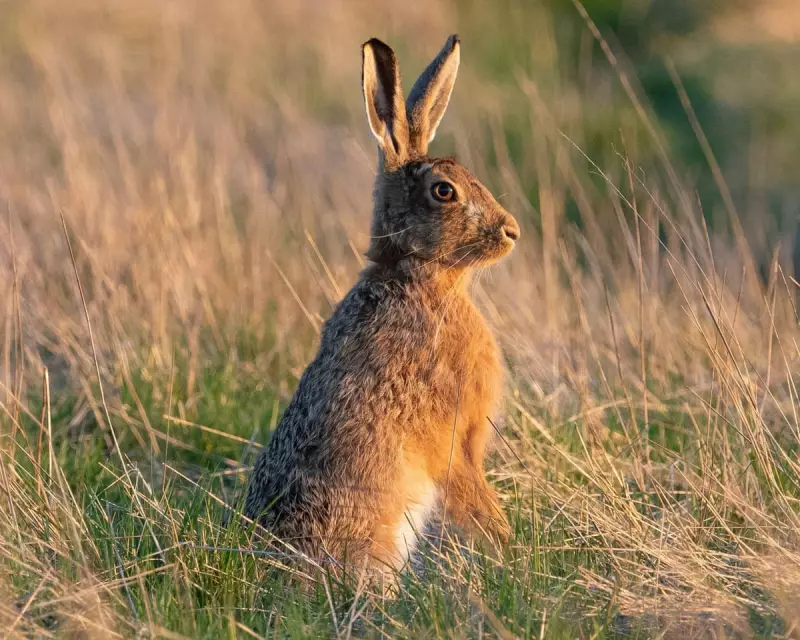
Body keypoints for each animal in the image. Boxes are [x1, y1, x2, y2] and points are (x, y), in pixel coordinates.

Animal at [244, 34, 520, 577]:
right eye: (443, 190)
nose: (512, 231)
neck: (415, 277)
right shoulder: (454, 441)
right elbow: (471, 495)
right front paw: (507, 546)